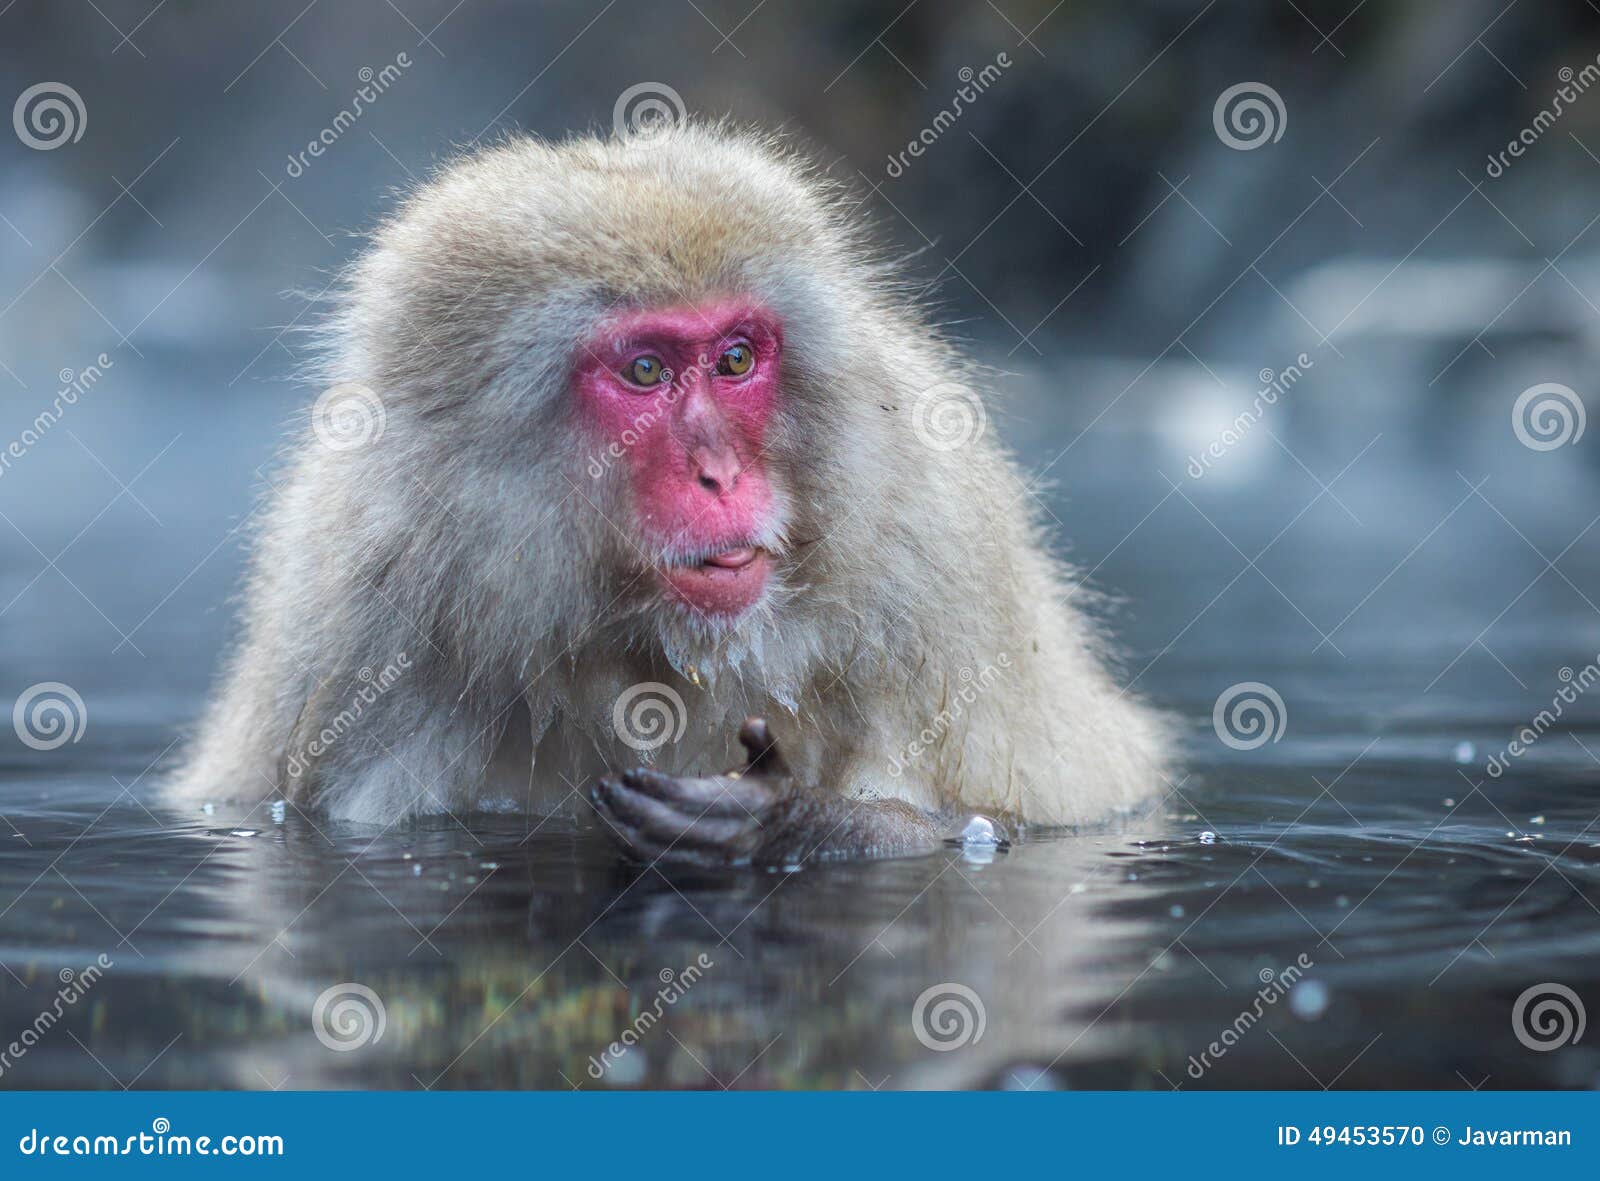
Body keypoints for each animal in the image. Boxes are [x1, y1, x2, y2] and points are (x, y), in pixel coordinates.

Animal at [170, 122, 1170, 868]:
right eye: (646, 370)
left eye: (734, 358)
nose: (719, 473)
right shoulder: (358, 615)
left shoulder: (934, 562)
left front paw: (791, 819)